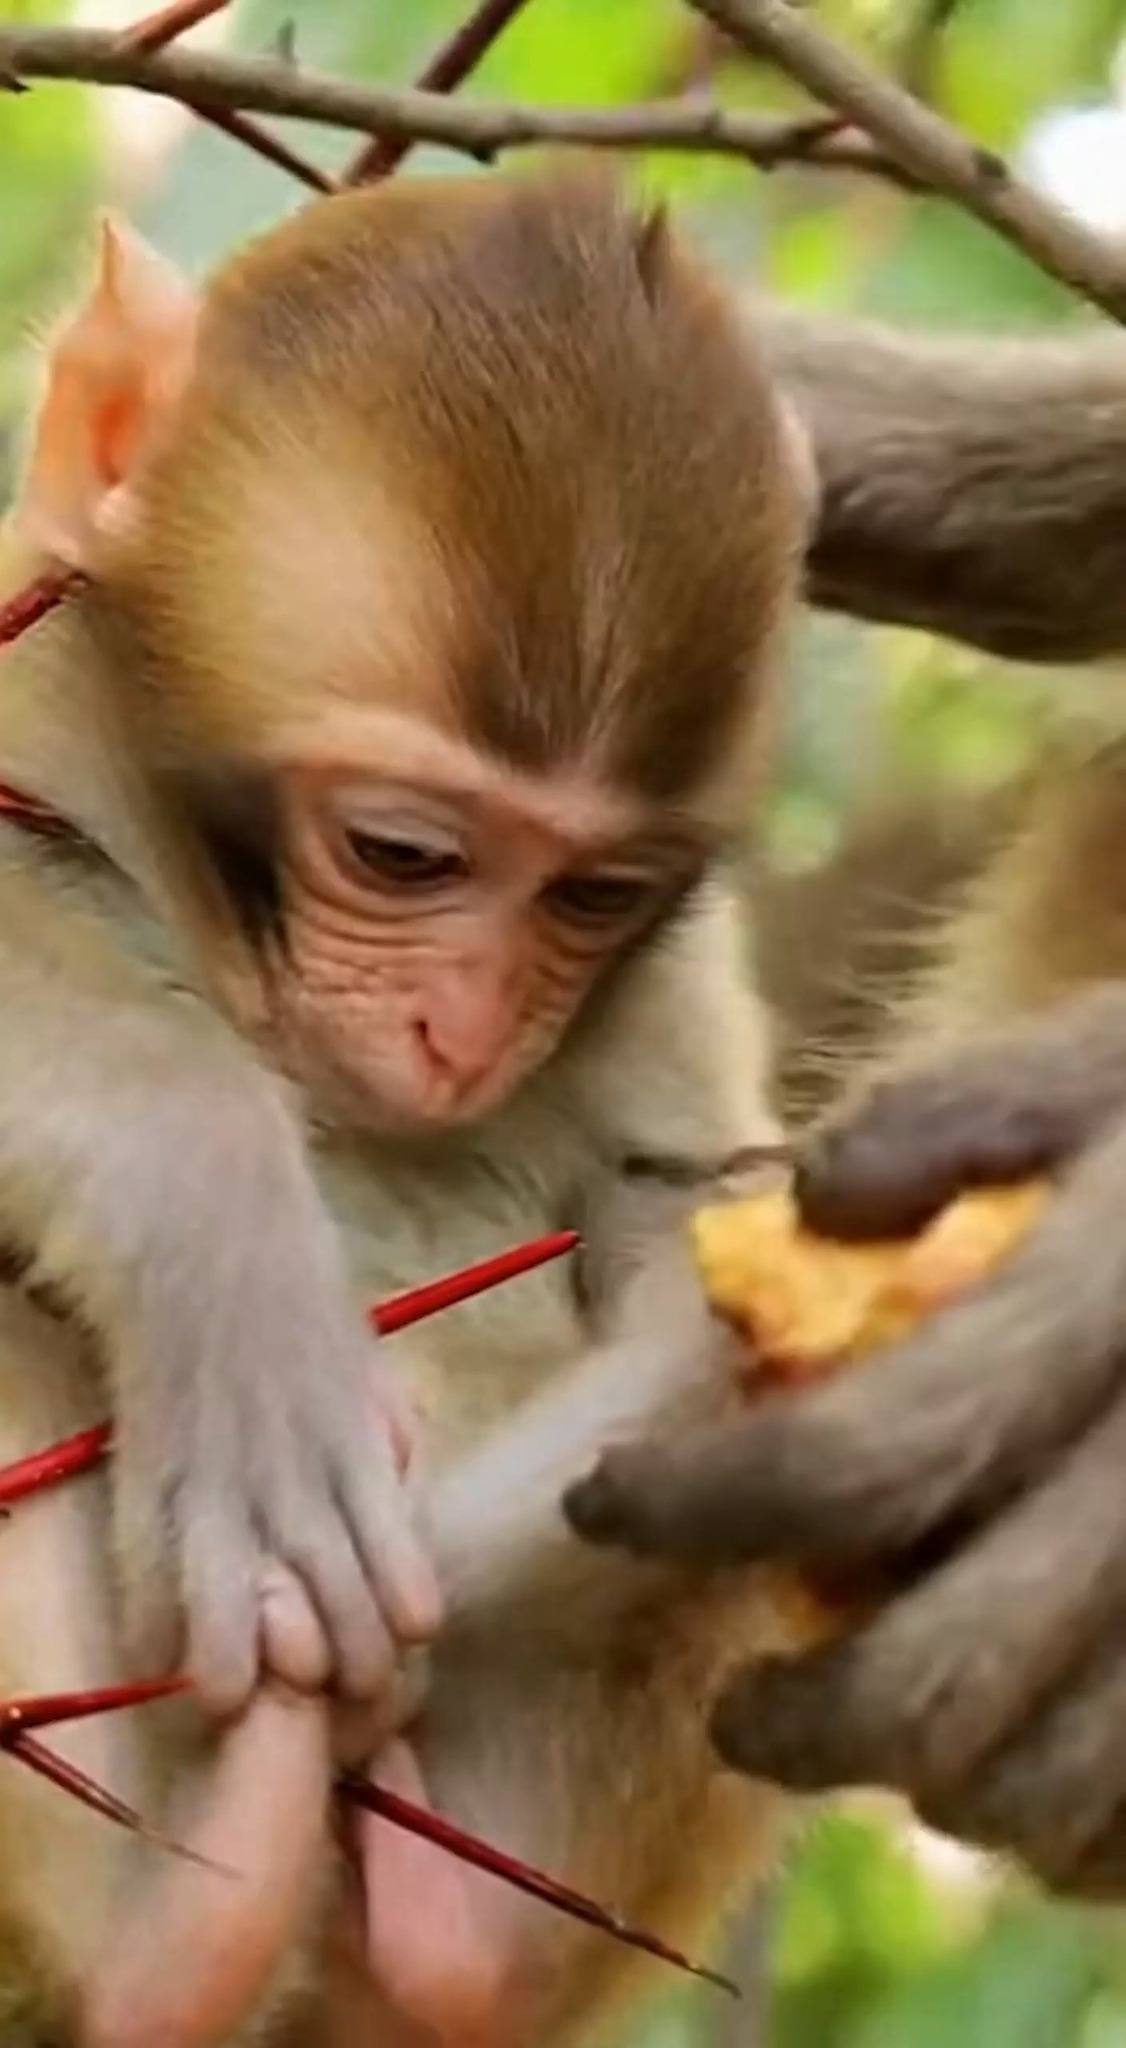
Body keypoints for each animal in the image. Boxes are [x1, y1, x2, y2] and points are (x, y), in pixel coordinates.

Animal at [0, 172, 813, 2046]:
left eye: (593, 894)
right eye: (401, 854)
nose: (462, 1030)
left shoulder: (668, 964)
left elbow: (678, 1195)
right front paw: (215, 1241)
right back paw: (172, 1934)